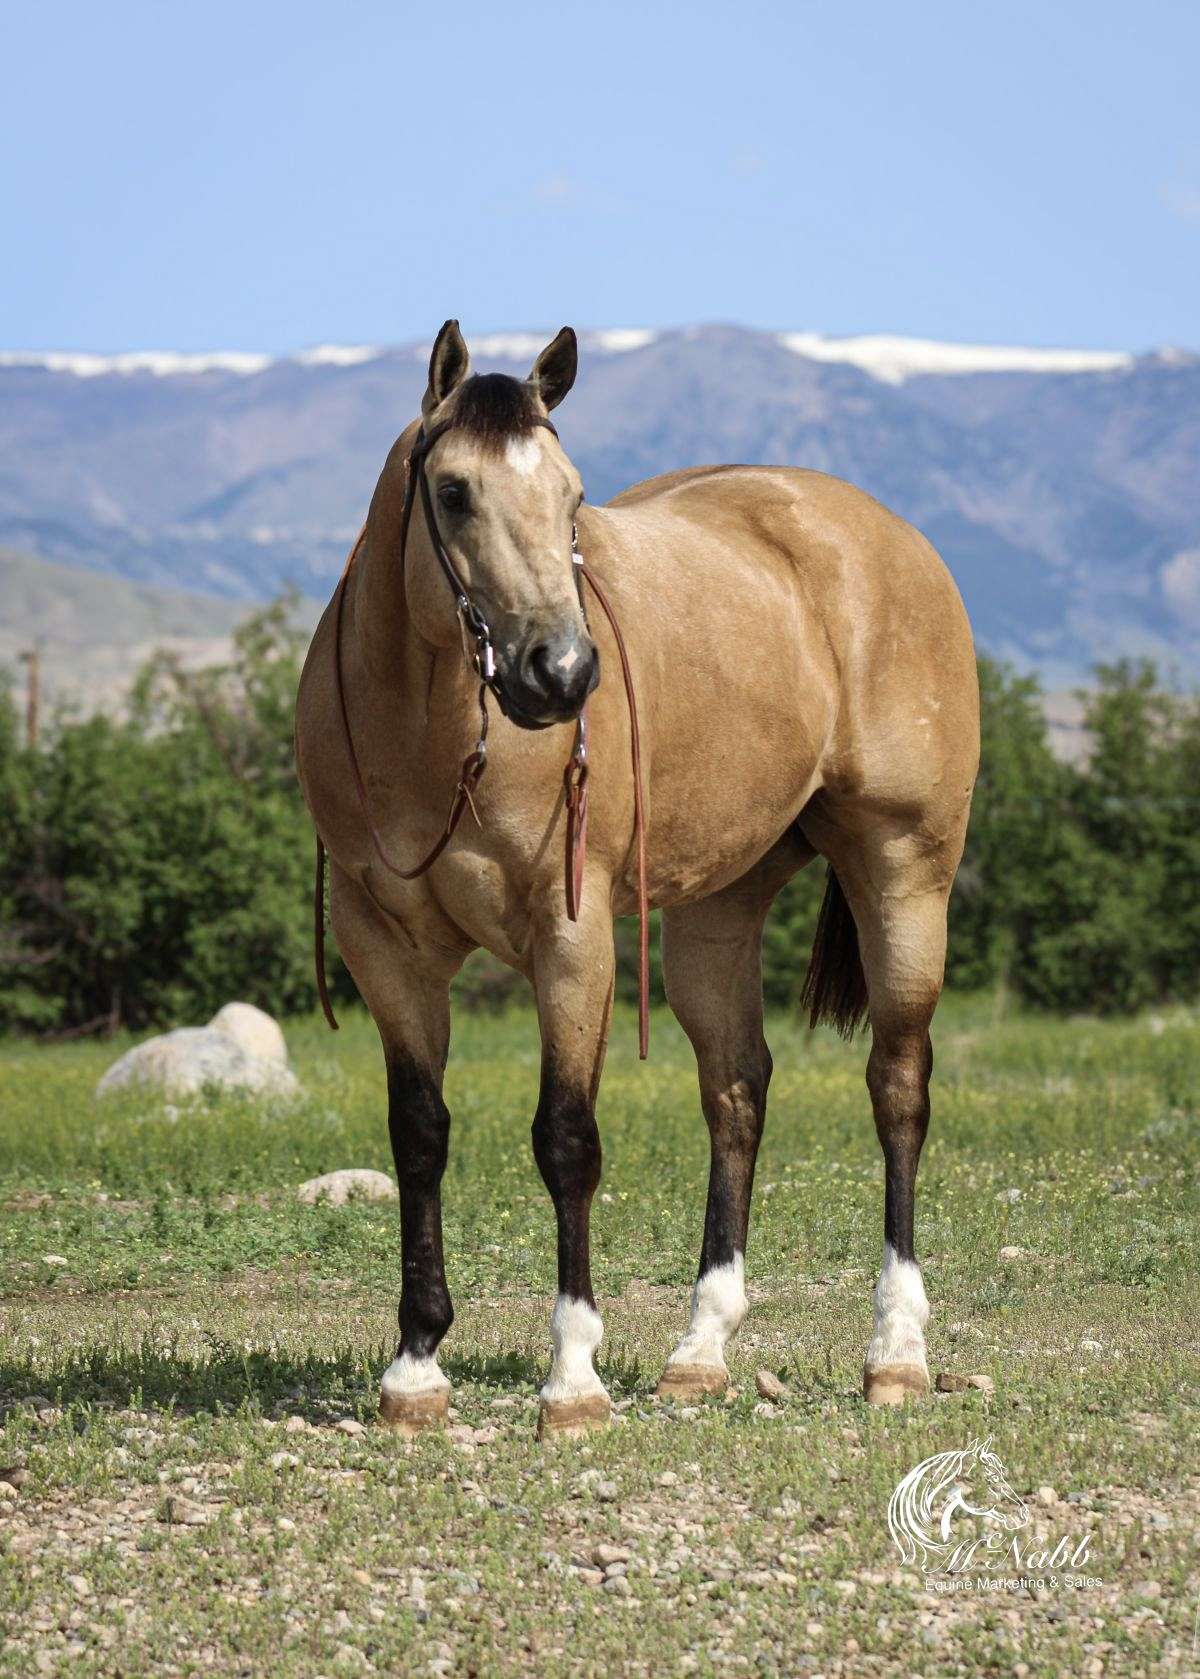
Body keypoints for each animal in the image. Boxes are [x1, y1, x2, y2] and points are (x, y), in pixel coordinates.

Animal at [295, 320, 980, 1436]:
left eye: (573, 497)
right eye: (453, 491)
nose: (562, 674)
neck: (432, 728)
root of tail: (886, 537)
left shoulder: (570, 935)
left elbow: (567, 1138)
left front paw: (572, 1376)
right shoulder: (382, 945)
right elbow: (419, 1135)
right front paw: (416, 1366)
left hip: (905, 876)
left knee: (899, 1089)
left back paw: (897, 1350)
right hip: (715, 913)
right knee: (736, 1090)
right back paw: (700, 1349)